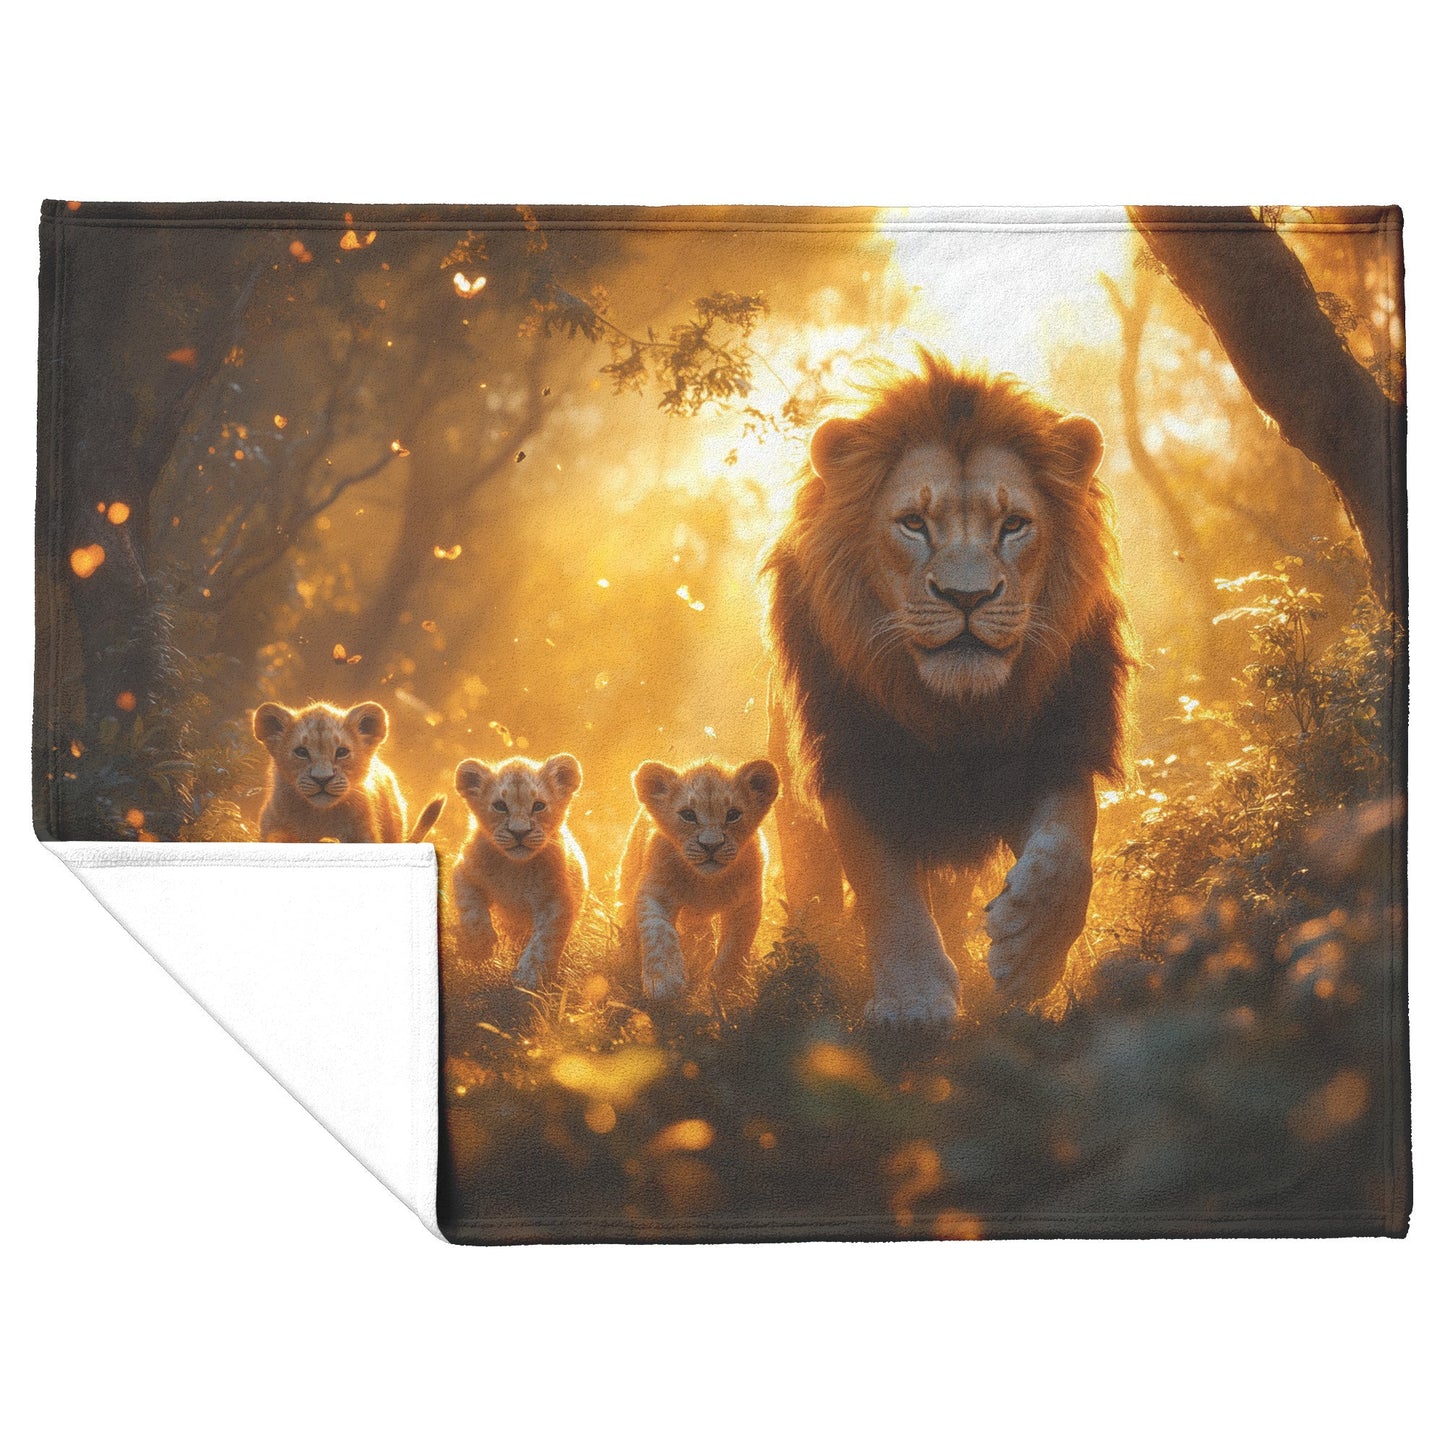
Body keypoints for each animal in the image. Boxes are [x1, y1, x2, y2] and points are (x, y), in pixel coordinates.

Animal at [451, 754, 588, 988]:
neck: (515, 867)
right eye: (500, 806)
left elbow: (544, 941)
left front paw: (529, 977)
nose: (519, 832)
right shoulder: (464, 871)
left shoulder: (557, 900)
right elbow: (471, 907)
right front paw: (479, 946)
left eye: (539, 806)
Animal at [616, 758, 781, 1003]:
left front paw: (723, 987)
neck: (705, 882)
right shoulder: (655, 891)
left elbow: (736, 945)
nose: (711, 846)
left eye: (733, 814)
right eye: (688, 815)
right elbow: (658, 932)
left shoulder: (747, 902)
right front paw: (664, 983)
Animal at [763, 352, 1132, 1023]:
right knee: (815, 892)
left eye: (1014, 525)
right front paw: (913, 1002)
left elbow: (1069, 849)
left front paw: (1028, 953)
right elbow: (884, 885)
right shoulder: (855, 764)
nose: (967, 596)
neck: (957, 712)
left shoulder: (1057, 746)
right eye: (913, 524)